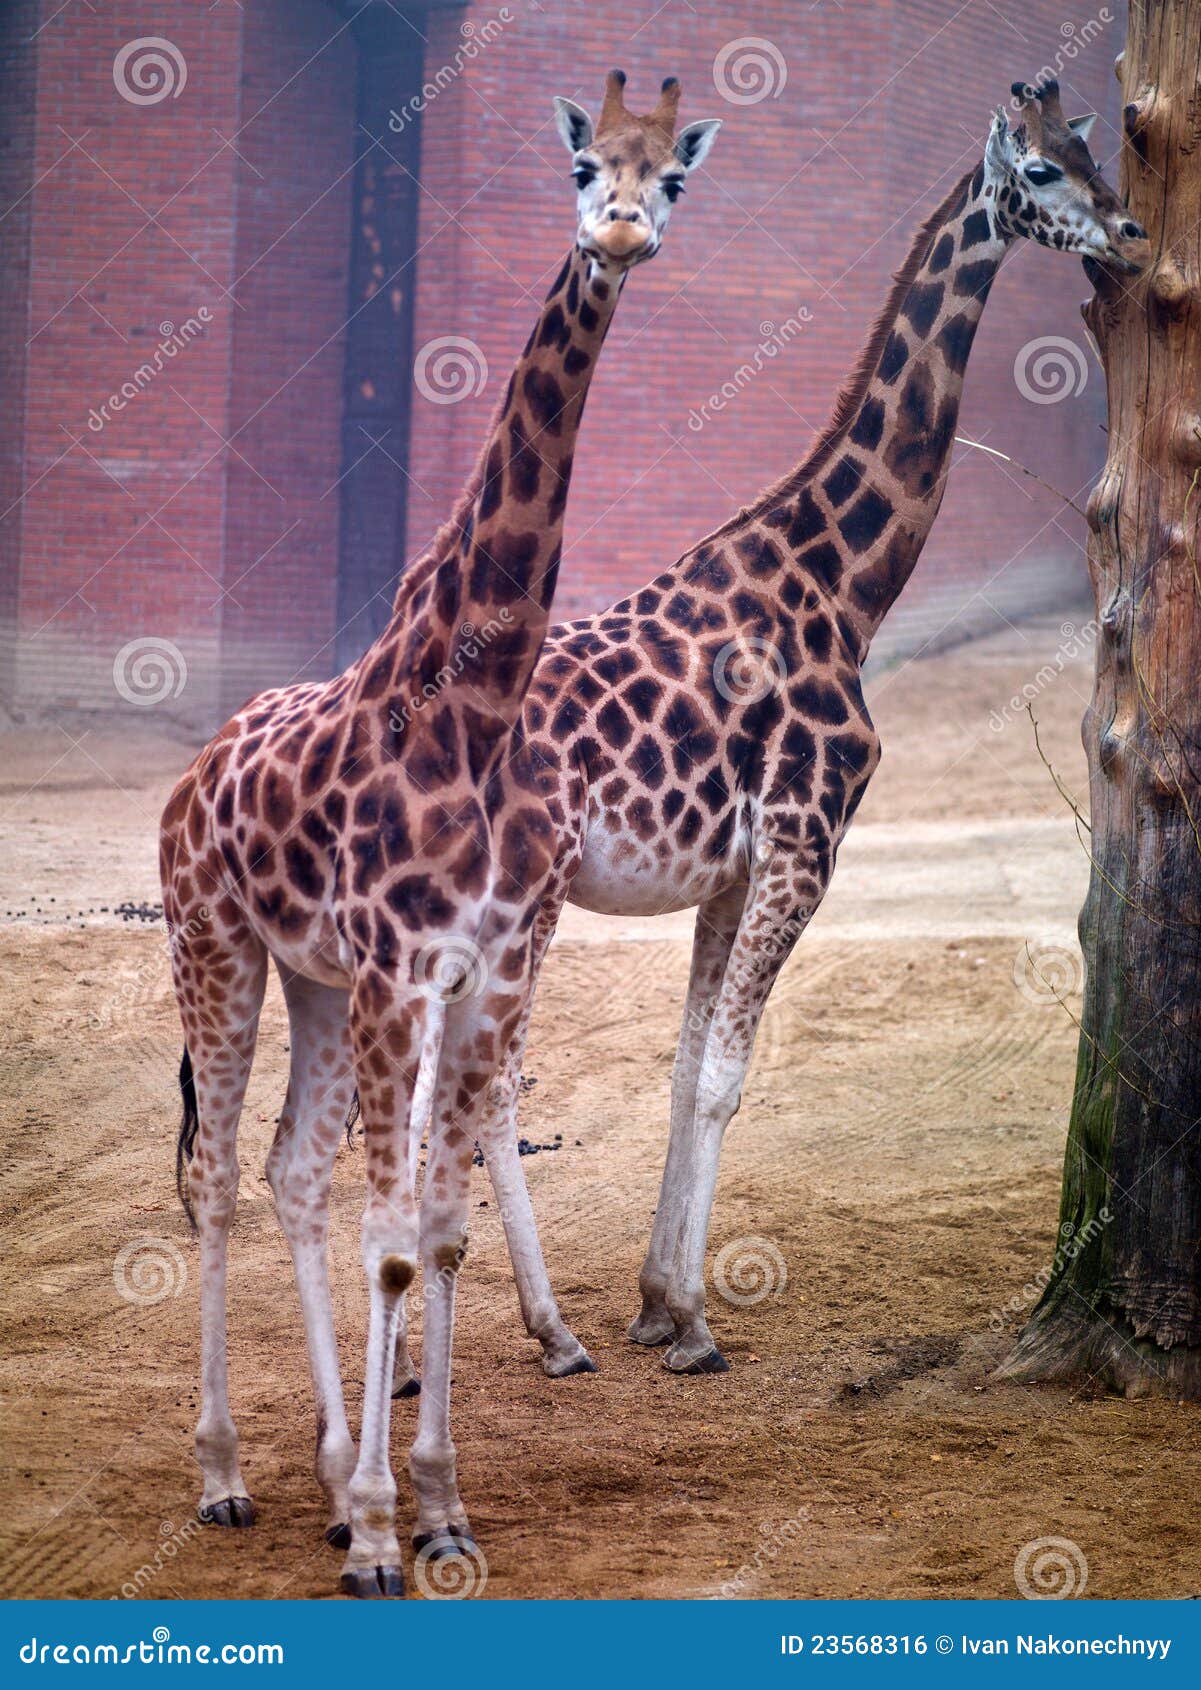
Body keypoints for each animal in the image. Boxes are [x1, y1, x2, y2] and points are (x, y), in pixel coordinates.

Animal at [158, 70, 720, 1598]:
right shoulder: (407, 974)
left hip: (313, 981)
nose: (624, 229)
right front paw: (375, 1533)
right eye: (582, 163)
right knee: (218, 1180)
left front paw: (433, 1507)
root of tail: (189, 778)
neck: (474, 701)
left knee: (290, 1174)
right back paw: (228, 1475)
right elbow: (399, 1242)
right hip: (214, 948)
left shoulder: (492, 971)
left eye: (677, 174)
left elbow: (447, 1235)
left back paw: (314, 1467)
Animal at [470, 78, 1150, 1377]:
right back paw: (541, 1334)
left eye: (1093, 152)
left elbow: (685, 1071)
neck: (846, 585)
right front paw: (690, 1321)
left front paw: (656, 1301)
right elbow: (726, 1077)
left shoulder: (732, 869)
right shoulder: (806, 840)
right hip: (522, 898)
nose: (1137, 237)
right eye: (1039, 172)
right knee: (481, 1080)